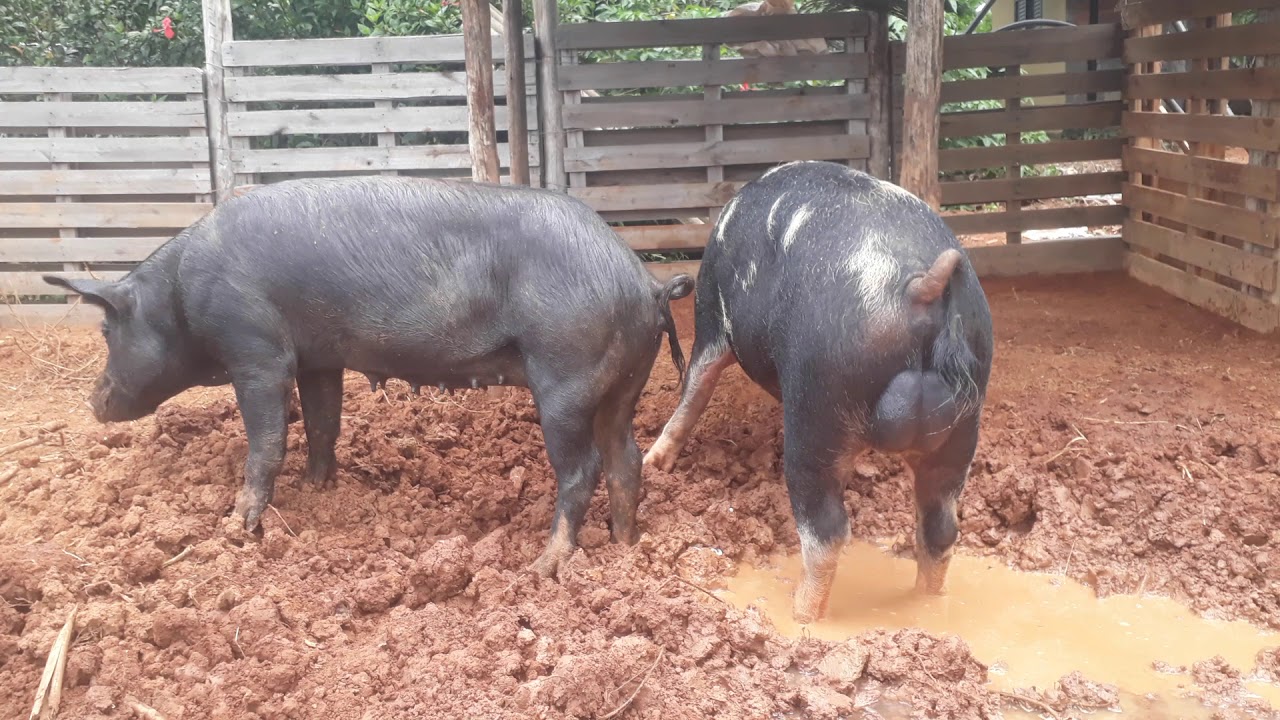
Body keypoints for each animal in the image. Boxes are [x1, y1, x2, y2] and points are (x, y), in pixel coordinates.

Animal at [44, 176, 693, 575]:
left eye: (106, 333)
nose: (93, 402)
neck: (181, 297)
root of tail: (646, 283)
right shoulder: (320, 358)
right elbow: (322, 424)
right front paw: (319, 490)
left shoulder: (255, 349)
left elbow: (267, 439)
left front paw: (238, 527)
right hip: (622, 383)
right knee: (625, 458)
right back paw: (624, 544)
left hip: (565, 374)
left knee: (581, 469)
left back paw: (543, 566)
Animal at [643, 161, 993, 623]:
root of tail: (920, 288)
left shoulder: (714, 321)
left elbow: (694, 389)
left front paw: (652, 464)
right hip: (963, 423)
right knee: (941, 527)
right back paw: (927, 601)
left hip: (818, 407)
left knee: (826, 532)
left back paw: (801, 614)